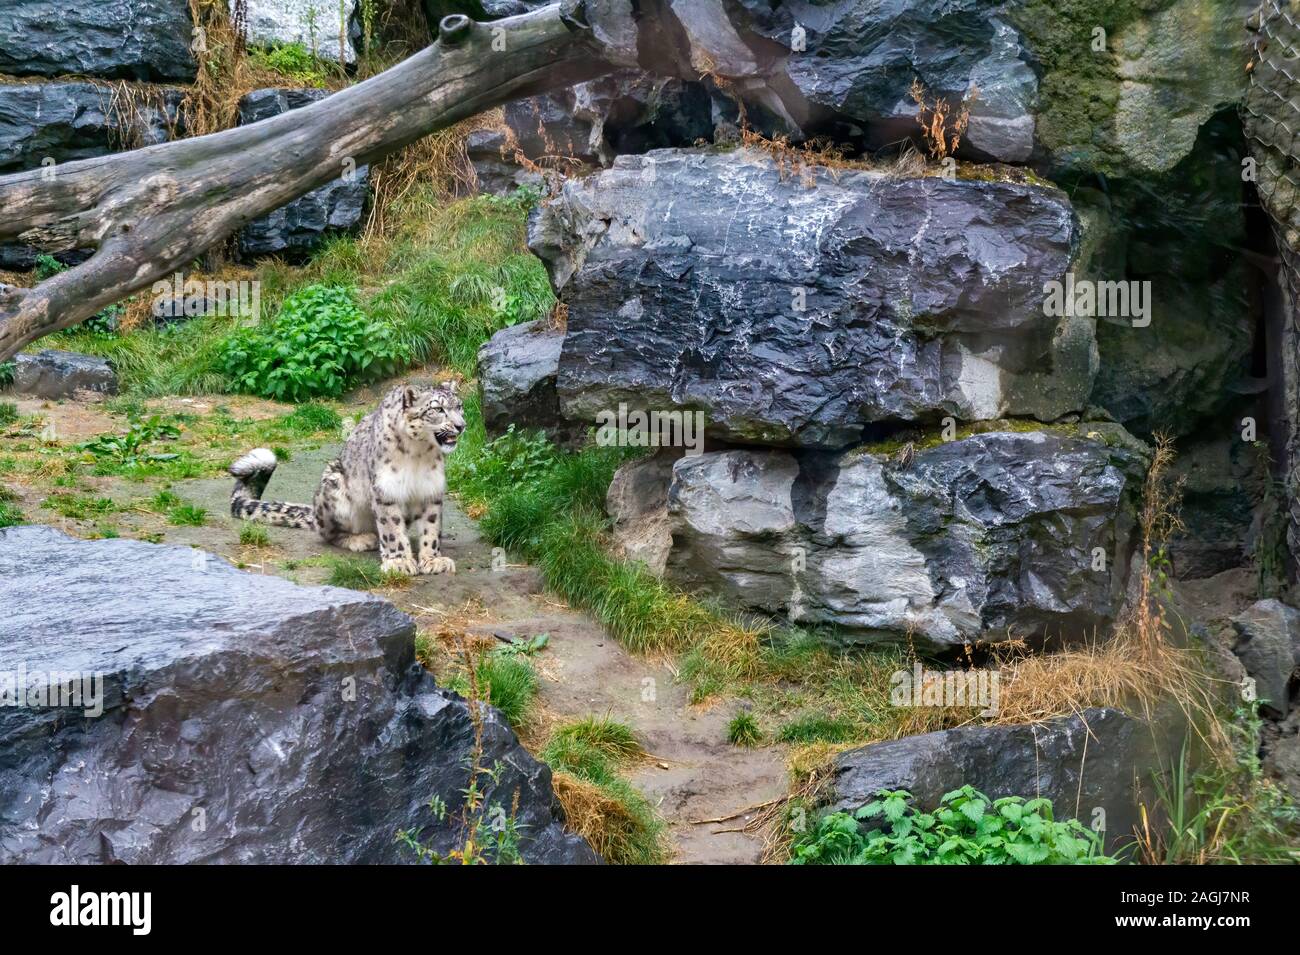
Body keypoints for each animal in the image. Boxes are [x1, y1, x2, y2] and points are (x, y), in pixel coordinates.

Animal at [229, 381, 465, 576]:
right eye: (438, 409)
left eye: (459, 406)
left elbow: (431, 528)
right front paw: (399, 562)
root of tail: (315, 513)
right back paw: (361, 539)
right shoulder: (386, 490)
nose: (461, 426)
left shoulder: (431, 488)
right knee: (329, 533)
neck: (420, 453)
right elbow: (392, 529)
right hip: (335, 489)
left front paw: (433, 560)